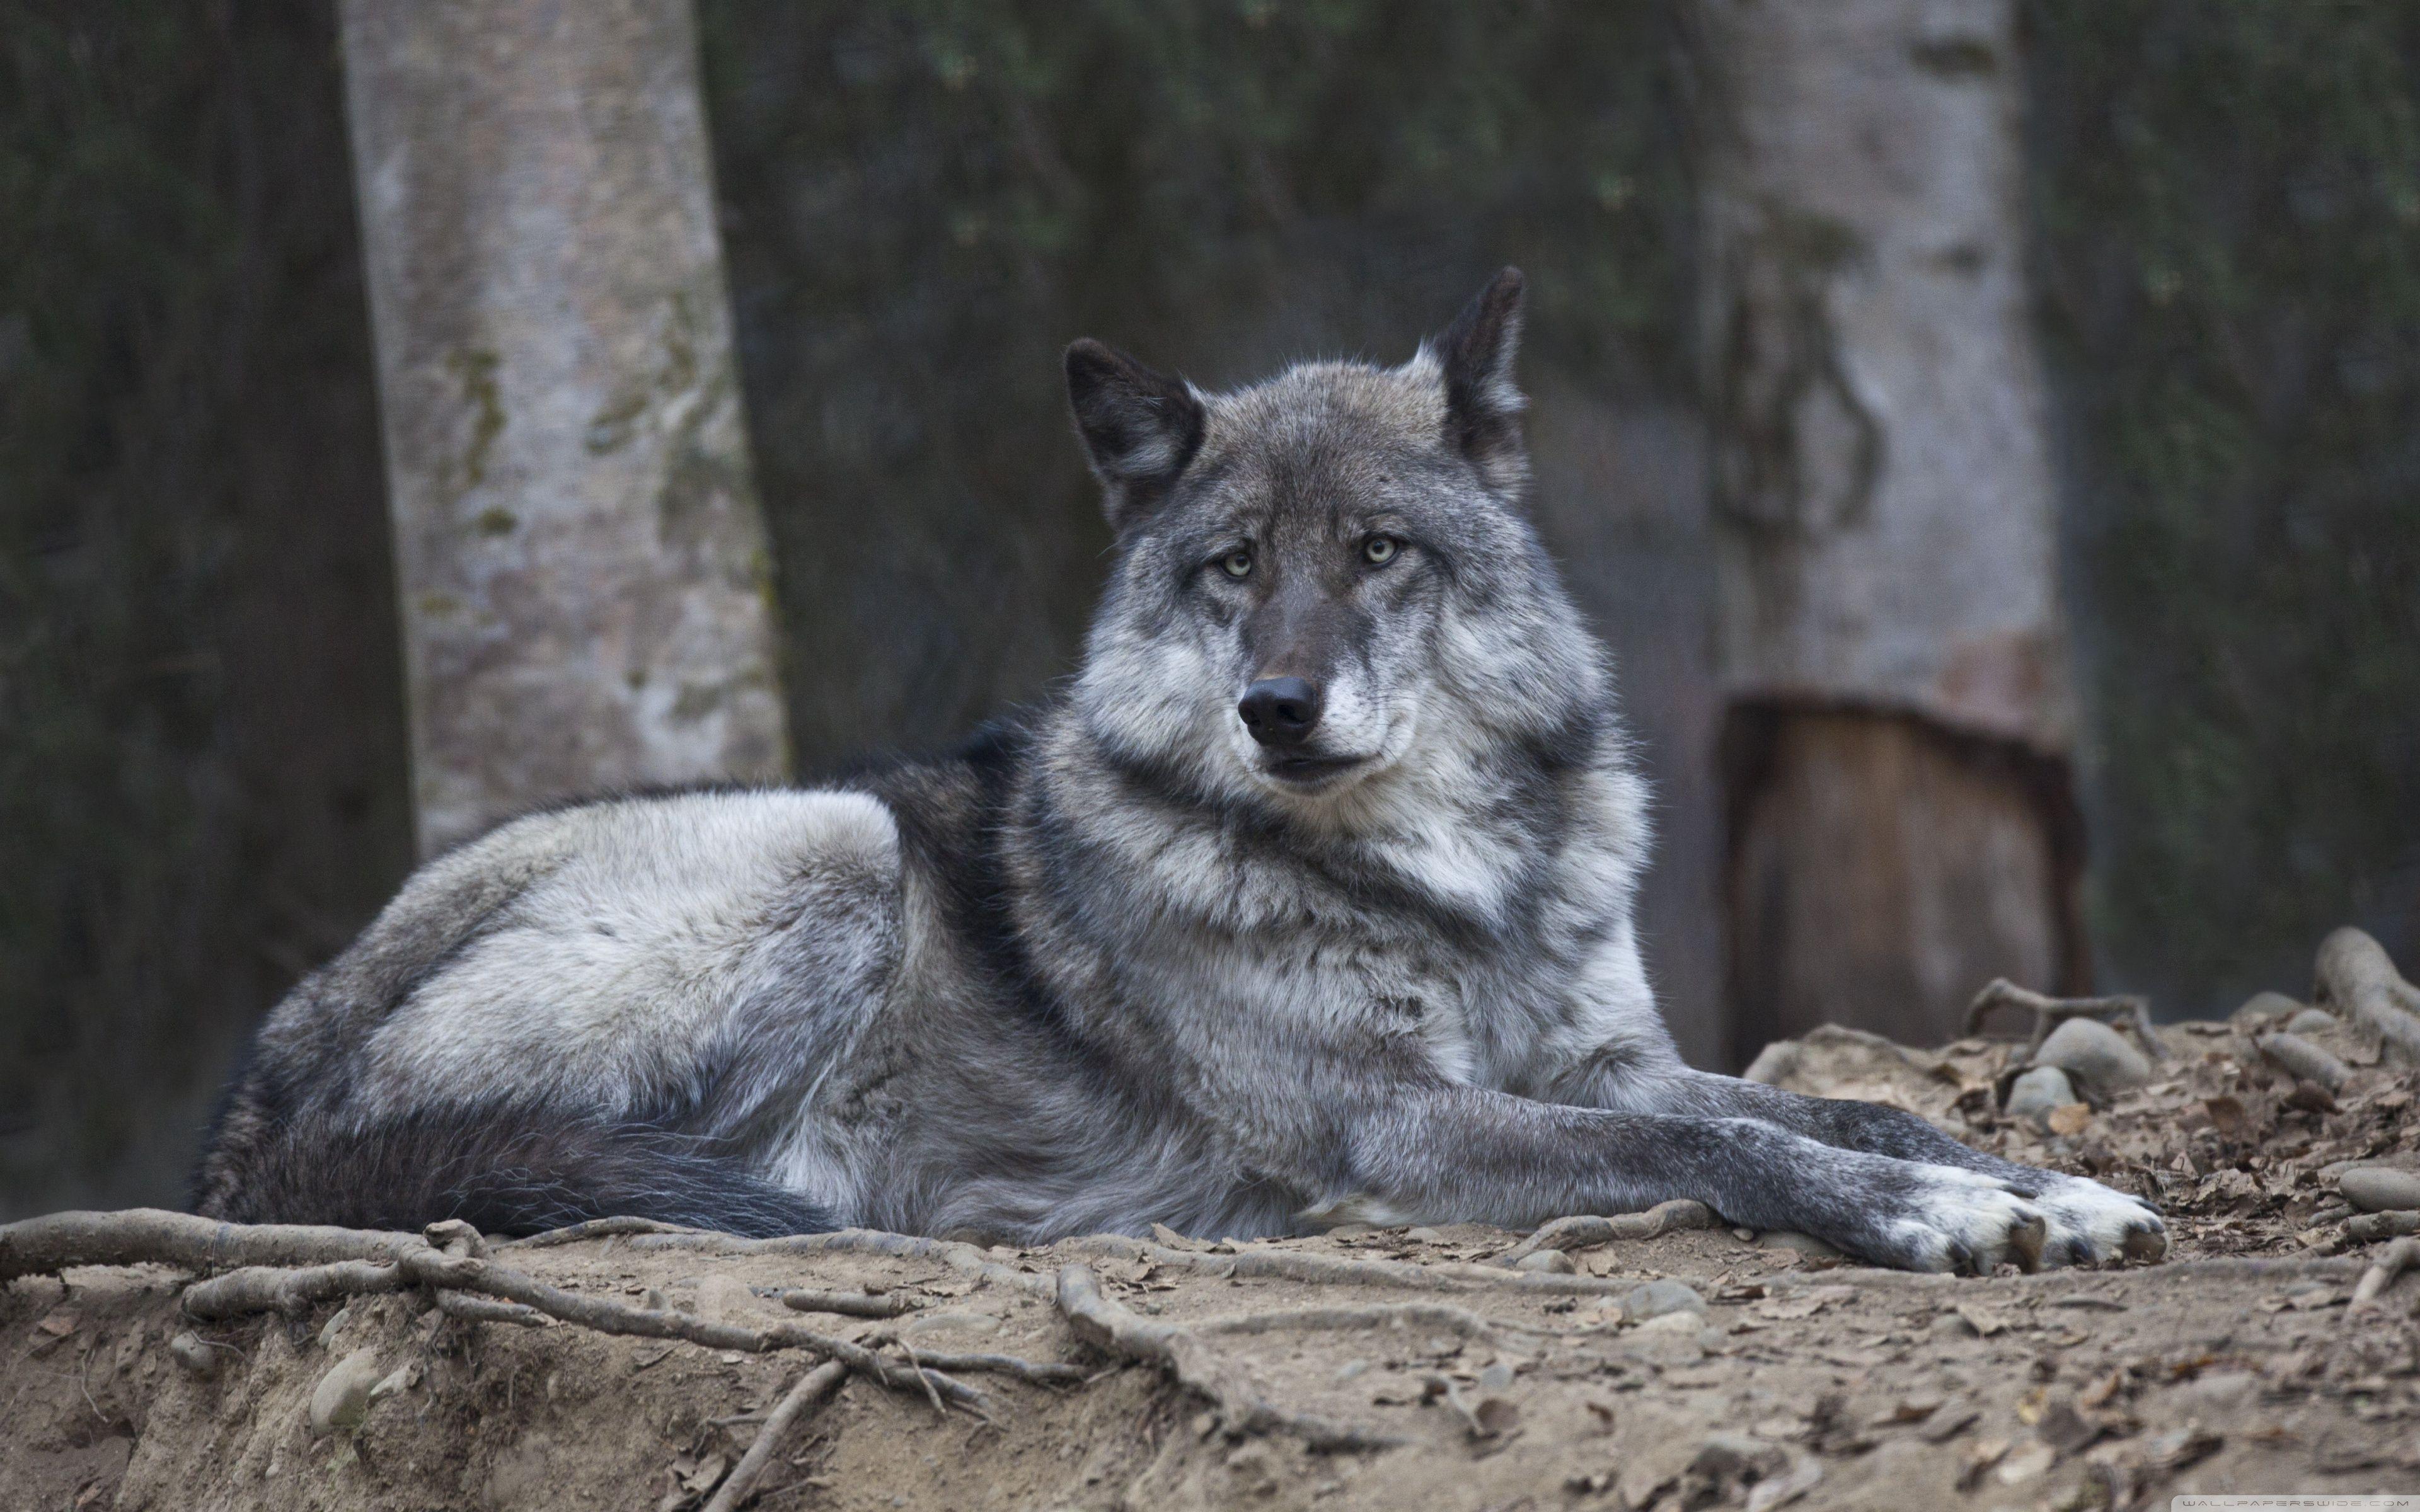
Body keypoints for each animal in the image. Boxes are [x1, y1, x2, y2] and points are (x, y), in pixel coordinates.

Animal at [195, 270, 2164, 1273]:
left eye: (1376, 551)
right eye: (1232, 566)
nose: (1277, 706)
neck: (1445, 883)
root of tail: (245, 1109)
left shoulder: (1606, 1054)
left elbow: (1833, 1103)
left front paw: (2032, 1184)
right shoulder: (1397, 1120)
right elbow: (1732, 1146)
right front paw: (1935, 1214)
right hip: (827, 841)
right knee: (538, 1162)